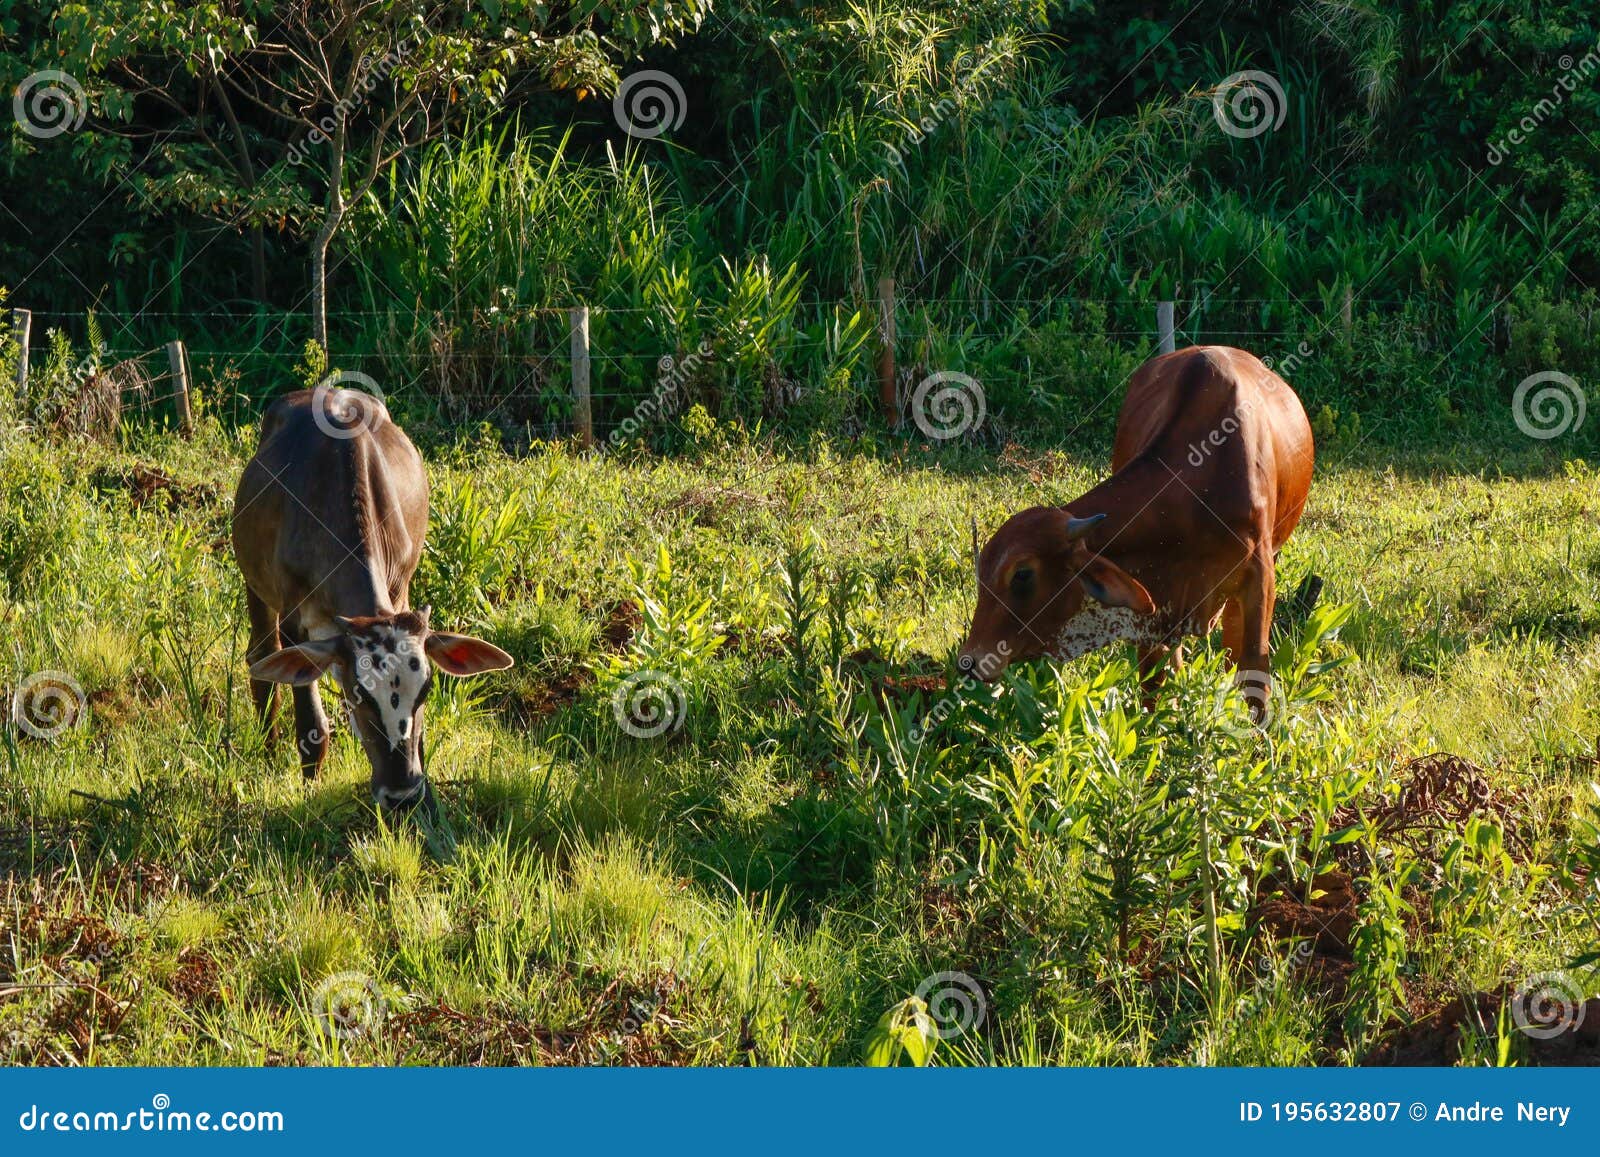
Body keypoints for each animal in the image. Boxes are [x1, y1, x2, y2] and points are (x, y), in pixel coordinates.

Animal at [232, 387, 513, 813]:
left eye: (426, 691)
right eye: (359, 695)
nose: (400, 795)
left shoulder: (402, 590)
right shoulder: (294, 616)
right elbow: (312, 725)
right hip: (254, 583)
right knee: (261, 657)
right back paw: (267, 750)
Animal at [957, 346, 1313, 714]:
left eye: (1022, 575)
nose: (969, 661)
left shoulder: (1260, 574)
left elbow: (1255, 668)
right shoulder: (1154, 605)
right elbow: (1153, 687)